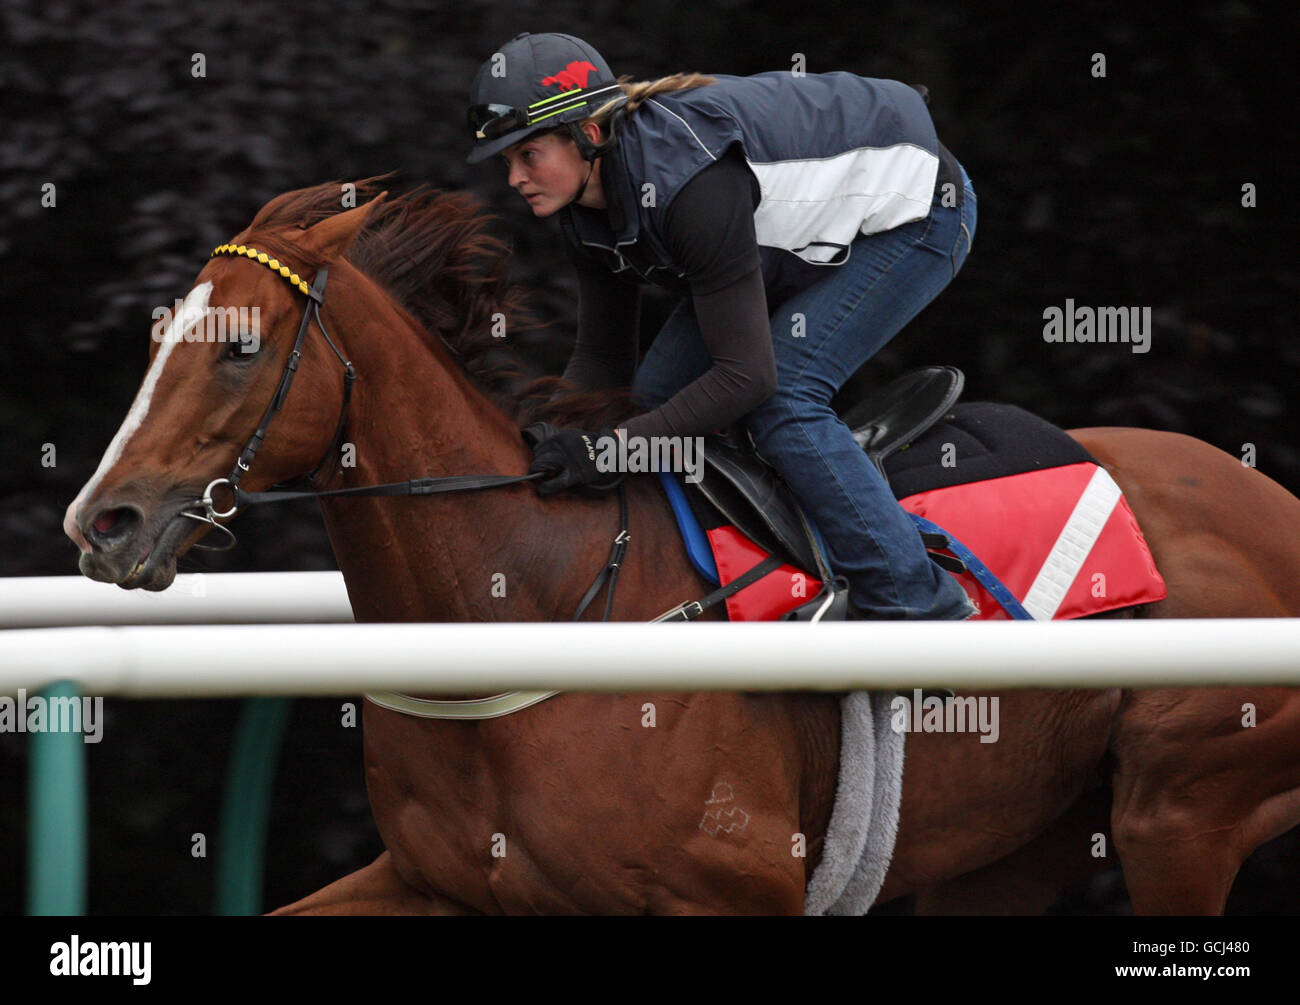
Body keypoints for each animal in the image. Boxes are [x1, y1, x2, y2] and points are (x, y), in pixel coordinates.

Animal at [62, 178, 1300, 915]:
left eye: (239, 349)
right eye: (163, 334)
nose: (102, 522)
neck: (531, 605)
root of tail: (1267, 499)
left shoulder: (741, 888)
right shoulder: (429, 883)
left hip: (1178, 810)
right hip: (1013, 848)